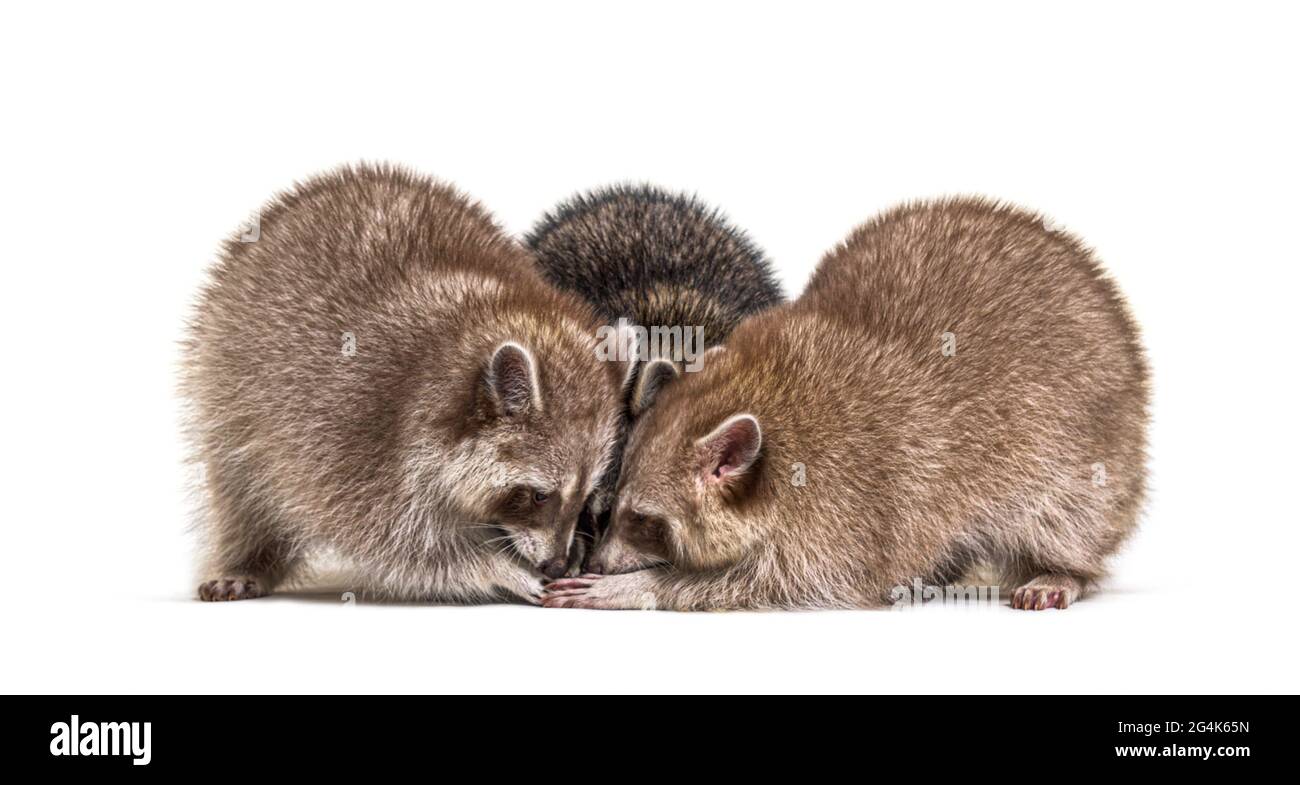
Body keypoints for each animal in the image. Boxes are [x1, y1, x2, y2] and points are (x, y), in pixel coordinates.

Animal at [184, 164, 624, 603]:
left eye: (586, 497)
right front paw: (496, 566)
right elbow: (397, 542)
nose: (556, 565)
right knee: (238, 486)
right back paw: (246, 557)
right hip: (226, 373)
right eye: (539, 495)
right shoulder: (348, 435)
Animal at [545, 198, 1149, 611]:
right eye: (606, 511)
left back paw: (1062, 568)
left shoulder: (853, 509)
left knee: (1064, 516)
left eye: (642, 519)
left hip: (1086, 455)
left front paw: (642, 585)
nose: (597, 561)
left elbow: (779, 581)